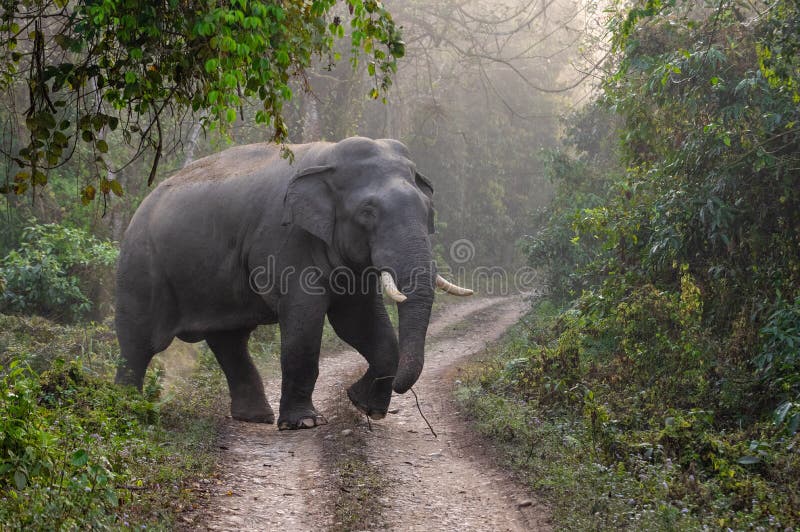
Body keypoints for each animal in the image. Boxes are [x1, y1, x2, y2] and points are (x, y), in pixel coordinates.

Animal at [114, 136, 473, 430]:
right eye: (368, 211)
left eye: (428, 210)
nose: (401, 393)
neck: (329, 157)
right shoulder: (286, 240)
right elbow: (304, 324)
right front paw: (305, 423)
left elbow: (360, 322)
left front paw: (364, 406)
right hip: (140, 268)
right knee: (138, 342)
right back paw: (126, 408)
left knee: (229, 340)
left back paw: (255, 417)